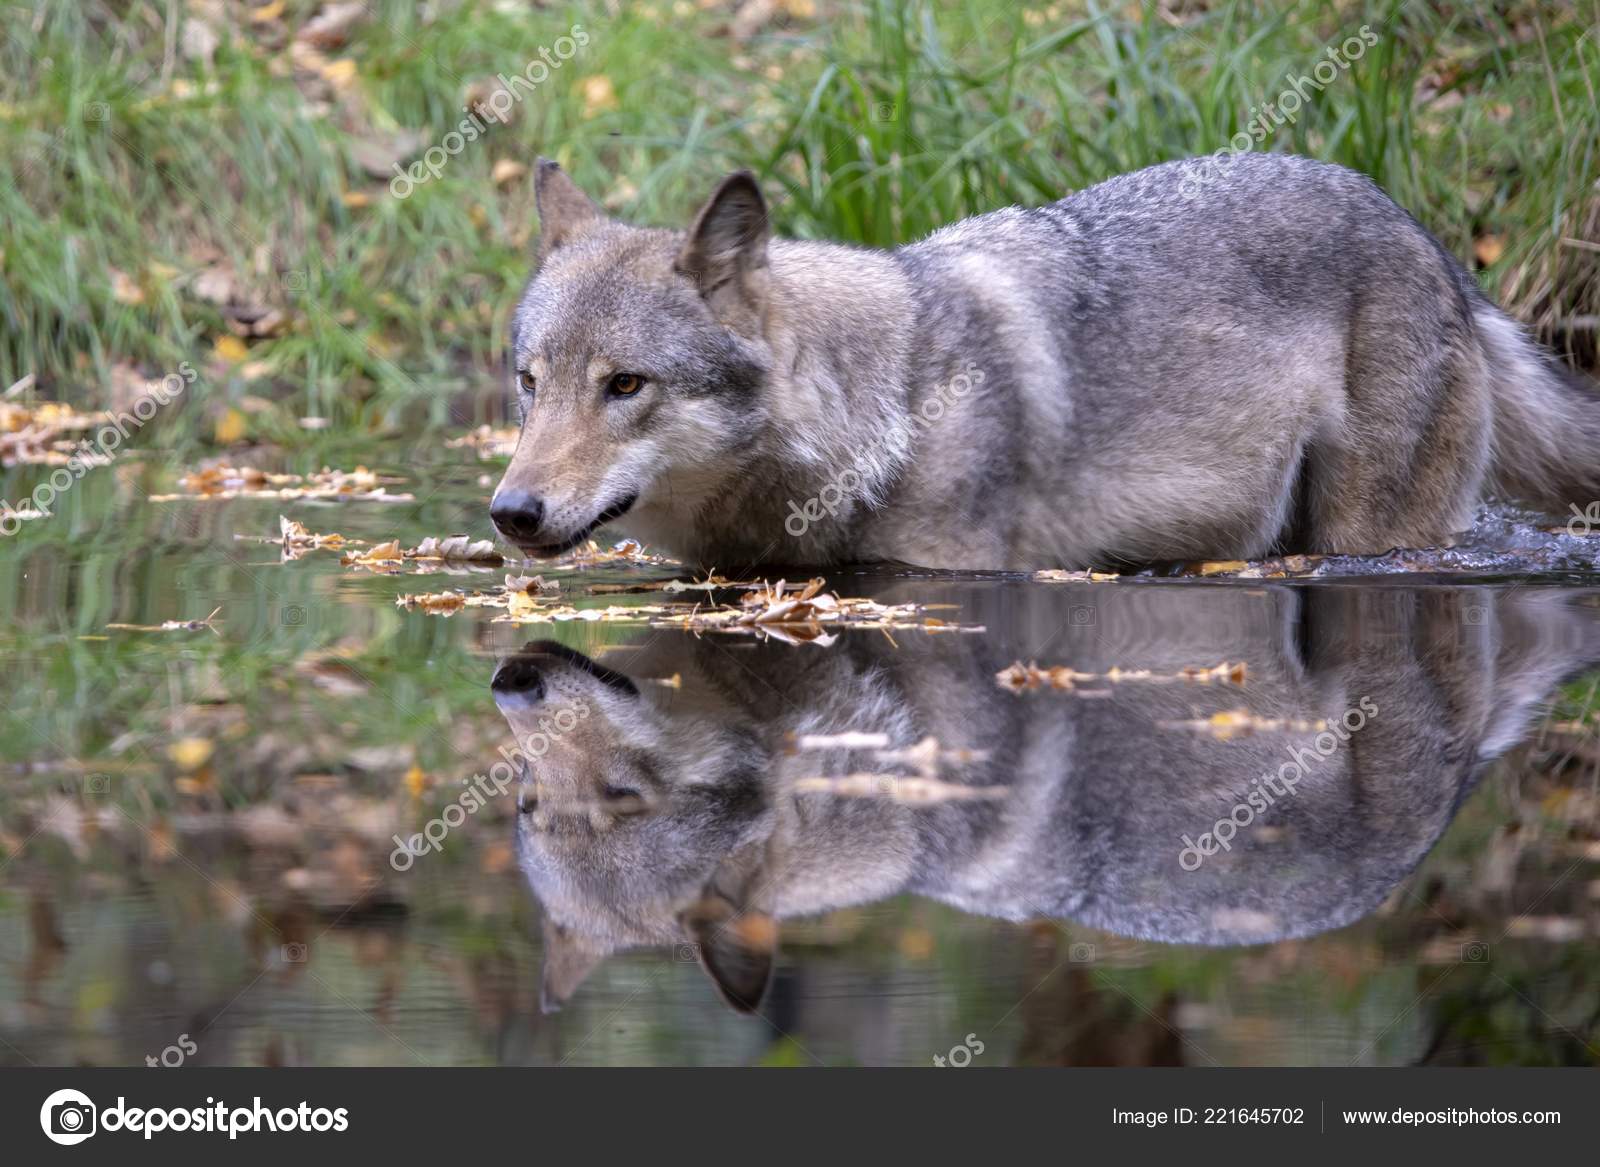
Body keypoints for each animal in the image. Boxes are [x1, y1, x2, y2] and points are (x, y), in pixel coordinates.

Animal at [489, 154, 1600, 571]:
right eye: (531, 384)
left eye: (625, 386)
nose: (511, 512)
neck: (884, 407)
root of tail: (1438, 252)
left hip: (1367, 533)